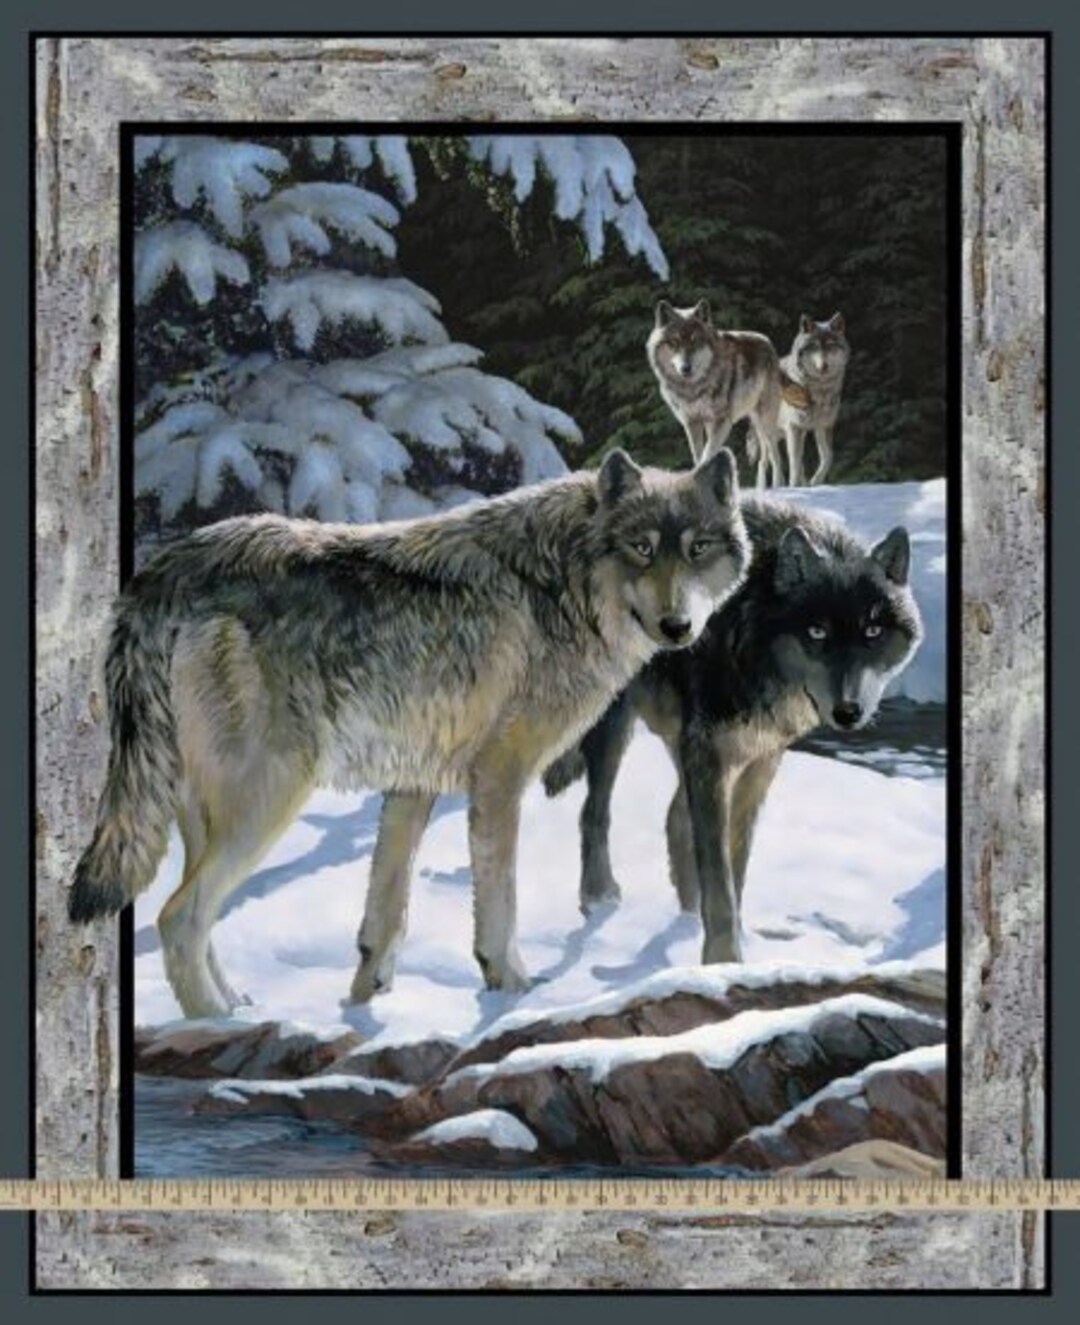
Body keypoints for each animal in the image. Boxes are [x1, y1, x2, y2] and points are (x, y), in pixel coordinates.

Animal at [69, 449, 750, 1018]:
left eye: (697, 548)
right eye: (641, 547)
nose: (677, 626)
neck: (563, 582)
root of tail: (164, 572)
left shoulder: (412, 785)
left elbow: (385, 912)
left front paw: (366, 999)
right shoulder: (499, 777)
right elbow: (498, 903)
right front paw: (511, 989)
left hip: (205, 815)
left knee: (196, 914)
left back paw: (236, 1005)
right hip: (267, 801)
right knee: (179, 916)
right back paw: (215, 1024)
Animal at [544, 497, 922, 965]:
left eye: (872, 631)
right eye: (816, 632)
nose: (848, 711)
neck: (748, 635)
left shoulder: (760, 759)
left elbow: (734, 869)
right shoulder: (711, 753)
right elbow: (719, 878)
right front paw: (722, 961)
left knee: (674, 817)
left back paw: (687, 916)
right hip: (618, 727)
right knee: (594, 812)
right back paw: (598, 900)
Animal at [647, 300, 803, 489]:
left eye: (695, 341)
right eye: (674, 342)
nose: (686, 368)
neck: (693, 387)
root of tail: (768, 343)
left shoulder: (721, 422)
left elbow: (706, 455)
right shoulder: (692, 423)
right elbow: (699, 456)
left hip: (766, 421)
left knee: (776, 458)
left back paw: (778, 487)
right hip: (753, 422)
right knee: (764, 459)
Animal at [778, 313, 850, 486]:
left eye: (830, 346)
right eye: (815, 347)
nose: (824, 366)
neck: (820, 391)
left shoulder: (823, 426)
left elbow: (828, 457)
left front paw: (815, 481)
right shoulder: (794, 426)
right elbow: (794, 463)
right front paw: (794, 486)